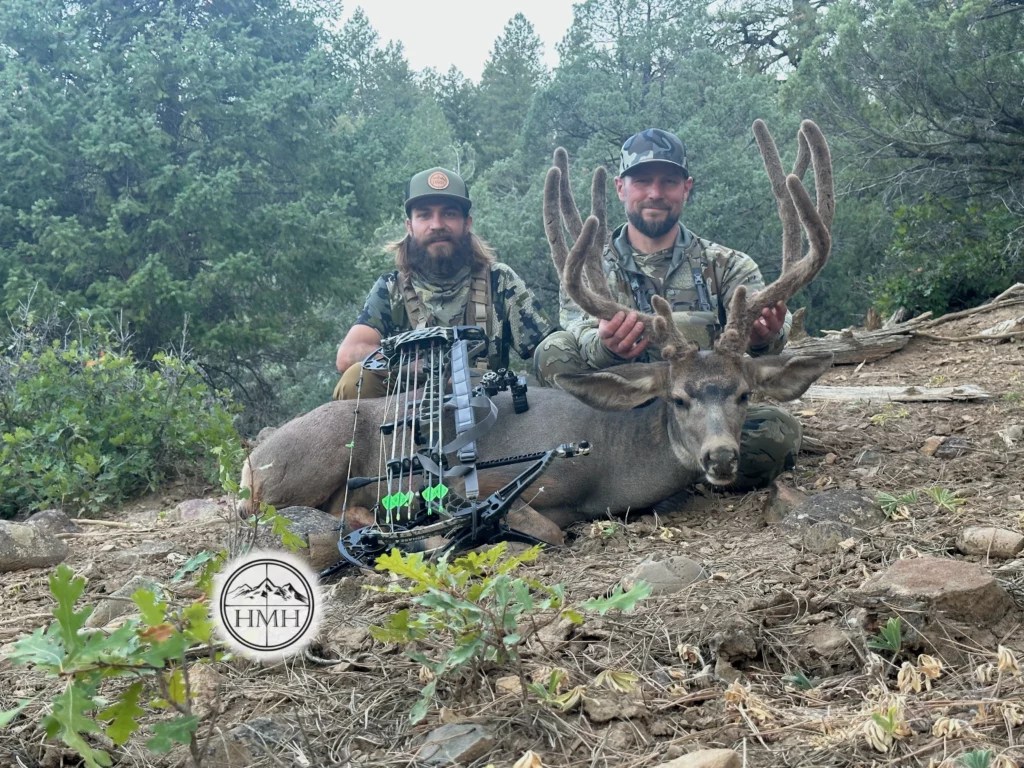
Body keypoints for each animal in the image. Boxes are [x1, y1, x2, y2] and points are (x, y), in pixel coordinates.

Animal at [240, 120, 834, 541]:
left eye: (743, 393)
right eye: (680, 398)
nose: (721, 456)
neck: (608, 461)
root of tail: (252, 459)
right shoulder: (486, 483)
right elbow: (548, 530)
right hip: (304, 464)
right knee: (273, 510)